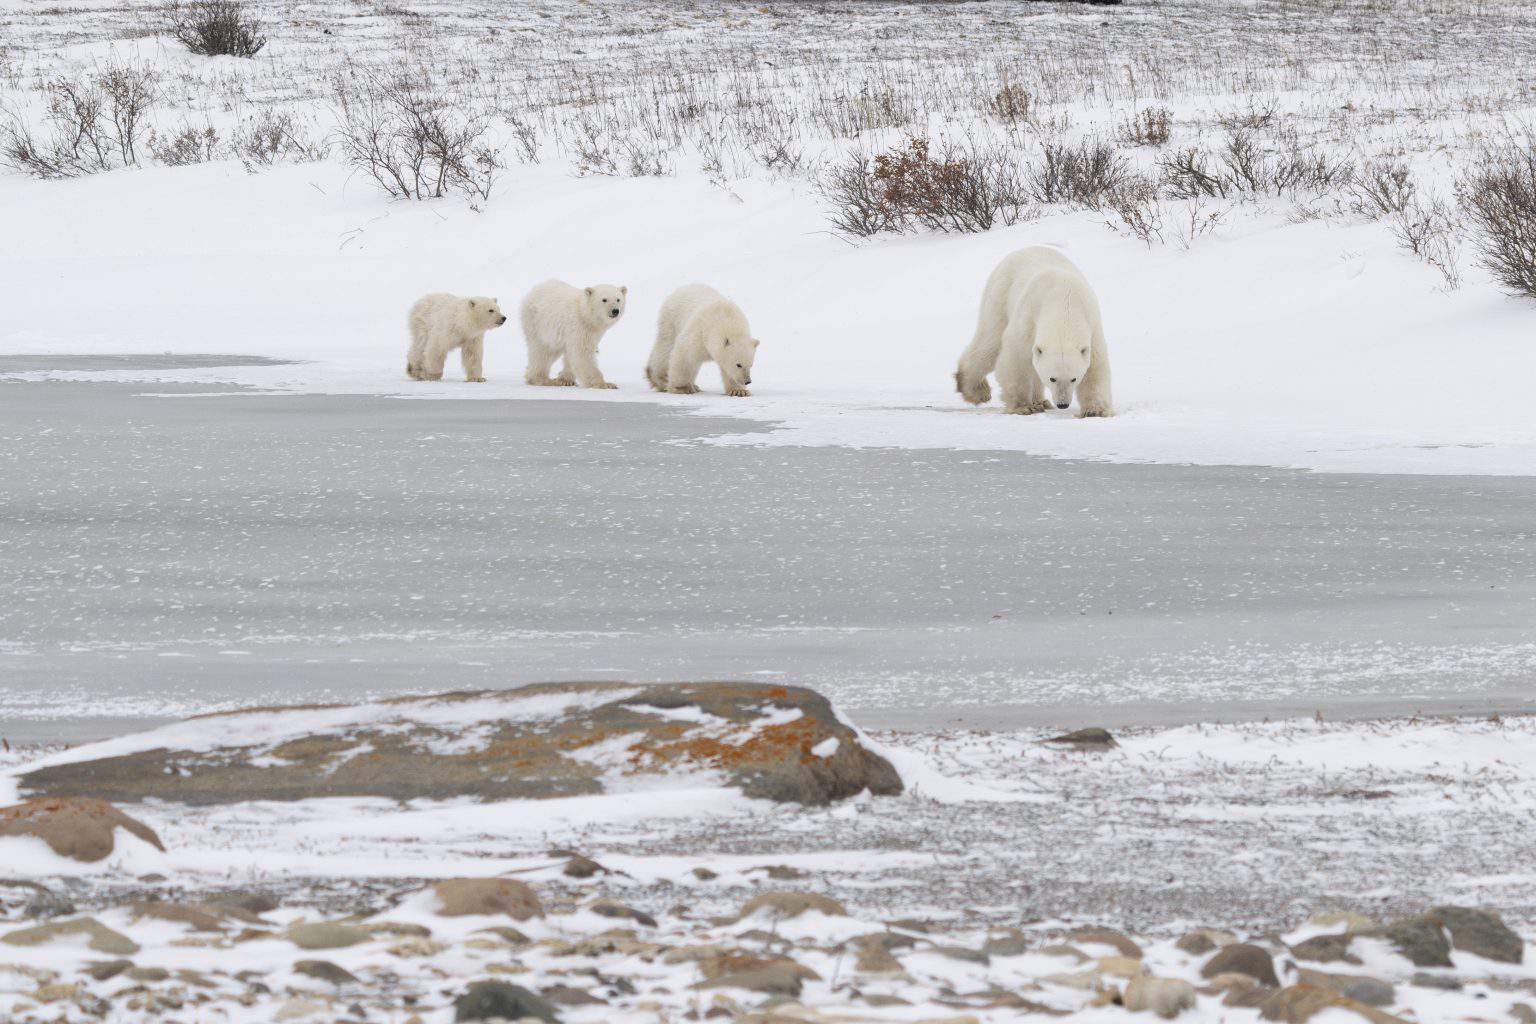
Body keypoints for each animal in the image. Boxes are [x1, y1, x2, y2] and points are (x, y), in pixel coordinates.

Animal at [955, 246, 1113, 417]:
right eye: (1052, 378)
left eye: (1074, 378)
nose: (1062, 404)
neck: (1064, 301)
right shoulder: (1028, 316)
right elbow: (1015, 358)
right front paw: (1023, 407)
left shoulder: (1092, 325)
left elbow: (1095, 368)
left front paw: (1095, 410)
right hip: (1000, 295)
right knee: (989, 344)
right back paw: (976, 390)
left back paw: (1040, 401)